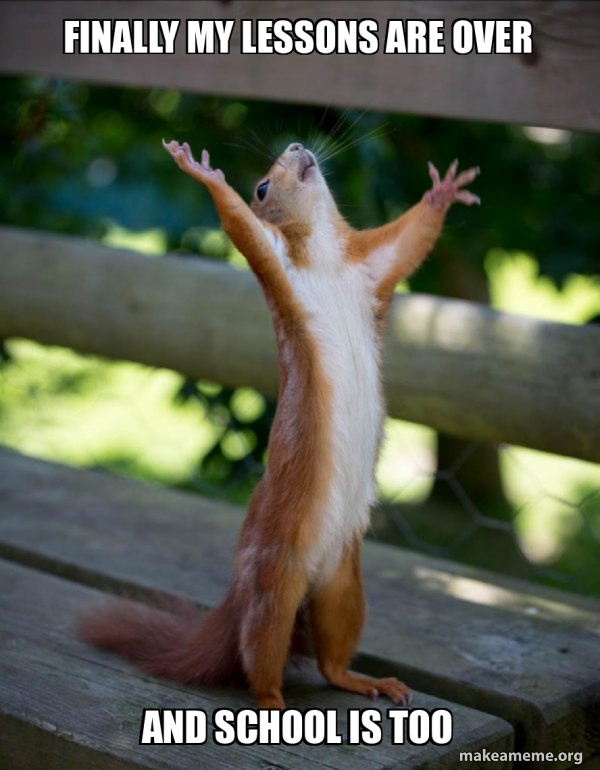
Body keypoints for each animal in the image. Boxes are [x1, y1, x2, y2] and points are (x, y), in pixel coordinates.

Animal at [78, 139, 479, 710]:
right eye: (262, 187)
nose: (296, 146)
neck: (327, 258)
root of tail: (238, 596)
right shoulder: (277, 264)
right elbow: (240, 225)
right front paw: (204, 173)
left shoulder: (372, 267)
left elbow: (410, 240)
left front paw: (442, 192)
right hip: (274, 583)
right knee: (259, 655)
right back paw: (272, 702)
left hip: (344, 586)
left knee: (332, 659)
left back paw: (366, 681)